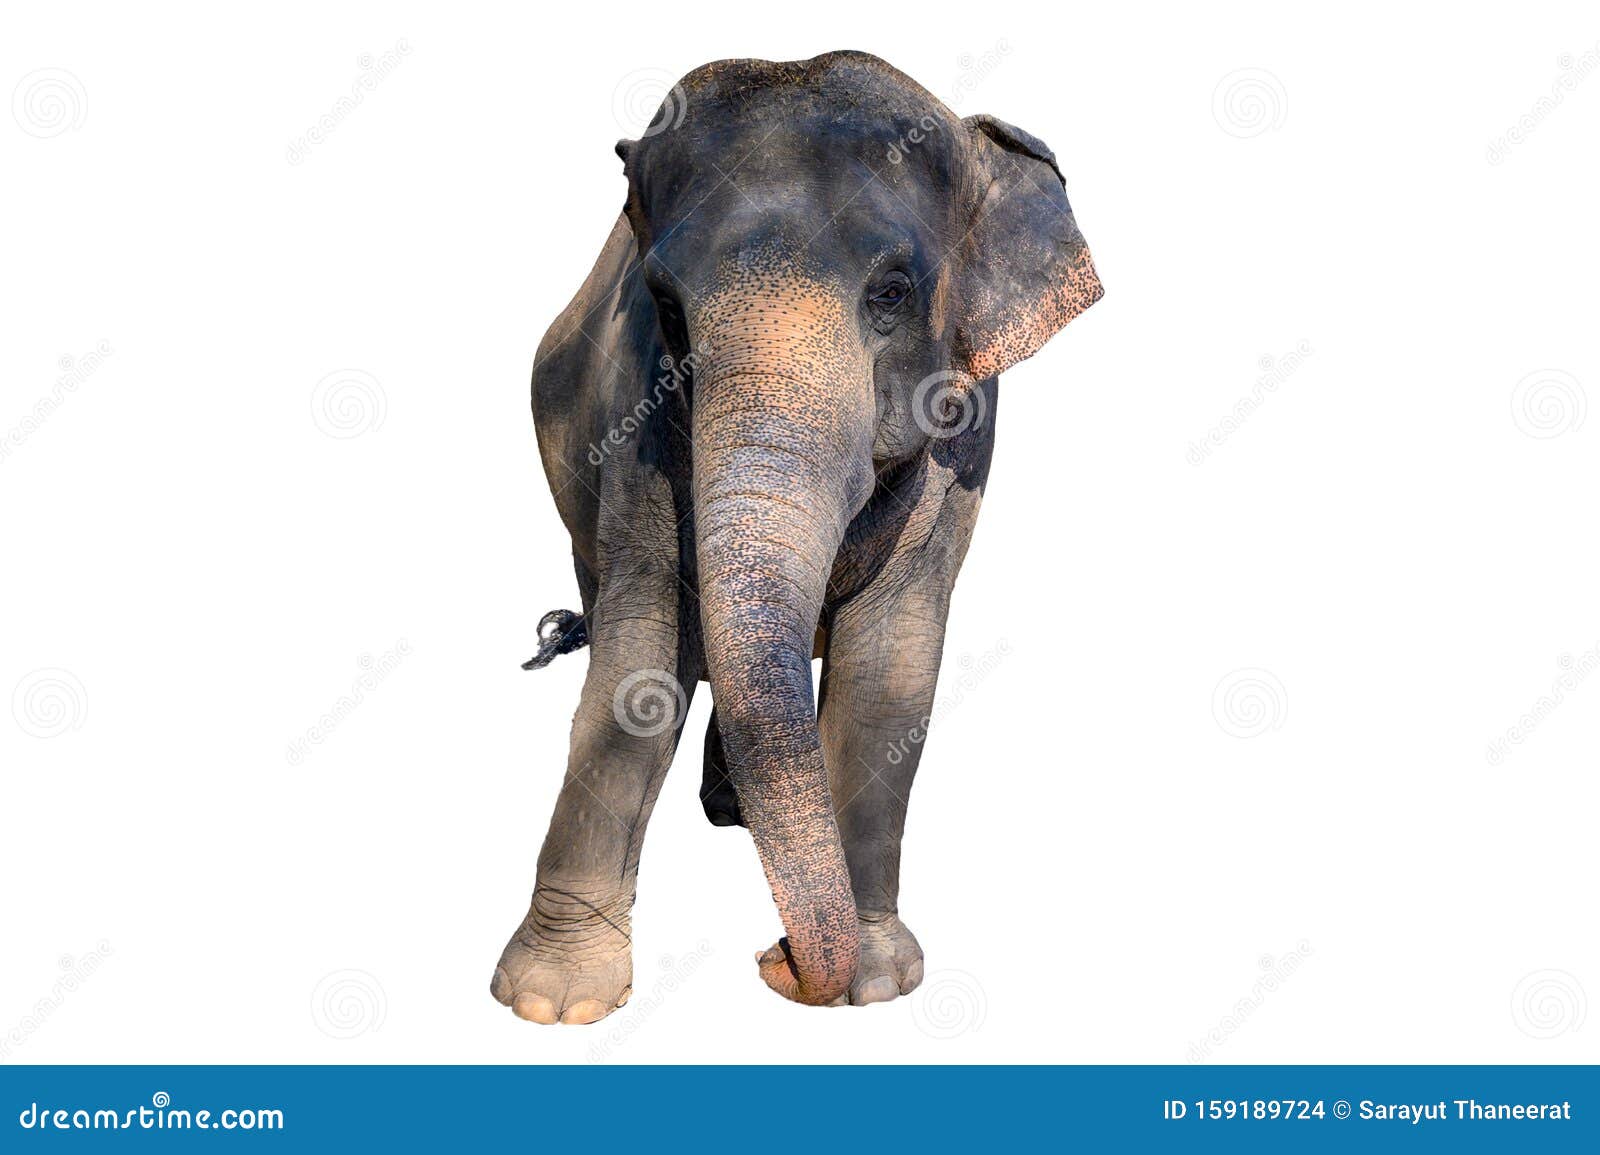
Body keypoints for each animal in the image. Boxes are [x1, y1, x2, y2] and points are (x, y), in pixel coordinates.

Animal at [491, 50, 1101, 1025]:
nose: (773, 958)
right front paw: (553, 1002)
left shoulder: (964, 429)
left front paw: (872, 981)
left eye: (892, 292)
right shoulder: (636, 415)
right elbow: (642, 654)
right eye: (665, 308)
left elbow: (891, 662)